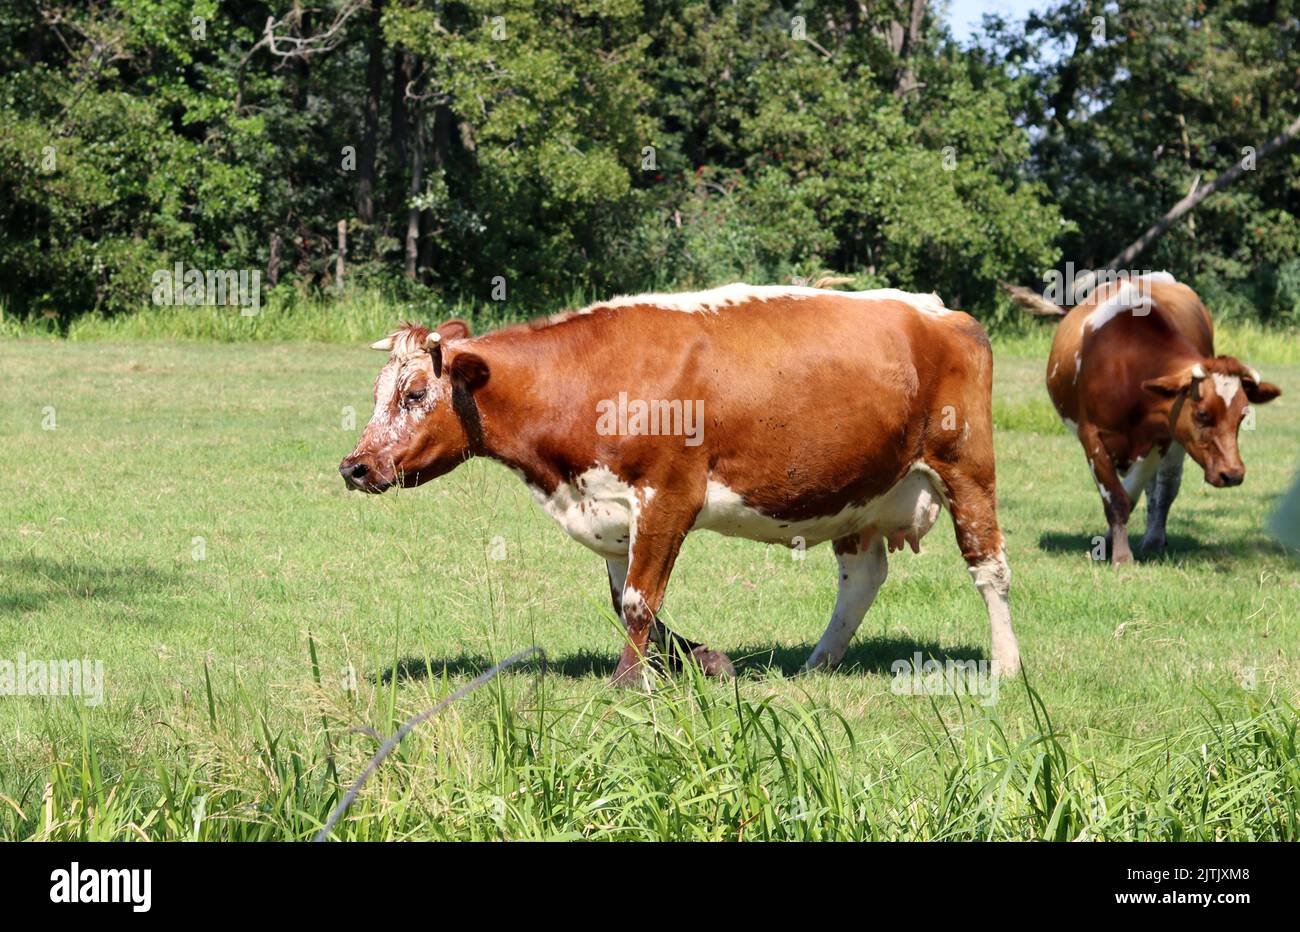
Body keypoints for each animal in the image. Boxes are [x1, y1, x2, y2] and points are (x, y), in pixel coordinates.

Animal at [339, 282, 1021, 687]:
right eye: (377, 391)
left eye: (414, 393)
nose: (355, 466)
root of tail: (941, 310)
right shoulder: (610, 508)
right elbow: (626, 599)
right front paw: (704, 659)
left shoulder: (668, 496)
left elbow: (641, 601)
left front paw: (625, 683)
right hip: (858, 493)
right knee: (862, 578)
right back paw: (817, 663)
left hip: (965, 468)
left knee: (990, 569)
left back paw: (1006, 664)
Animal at [1009, 272, 1281, 565]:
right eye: (1202, 413)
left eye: (1242, 416)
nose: (1232, 474)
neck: (1127, 367)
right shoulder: (1091, 436)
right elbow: (1116, 498)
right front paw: (1120, 555)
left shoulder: (1160, 440)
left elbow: (1131, 494)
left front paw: (1123, 548)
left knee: (1164, 489)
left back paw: (1153, 539)